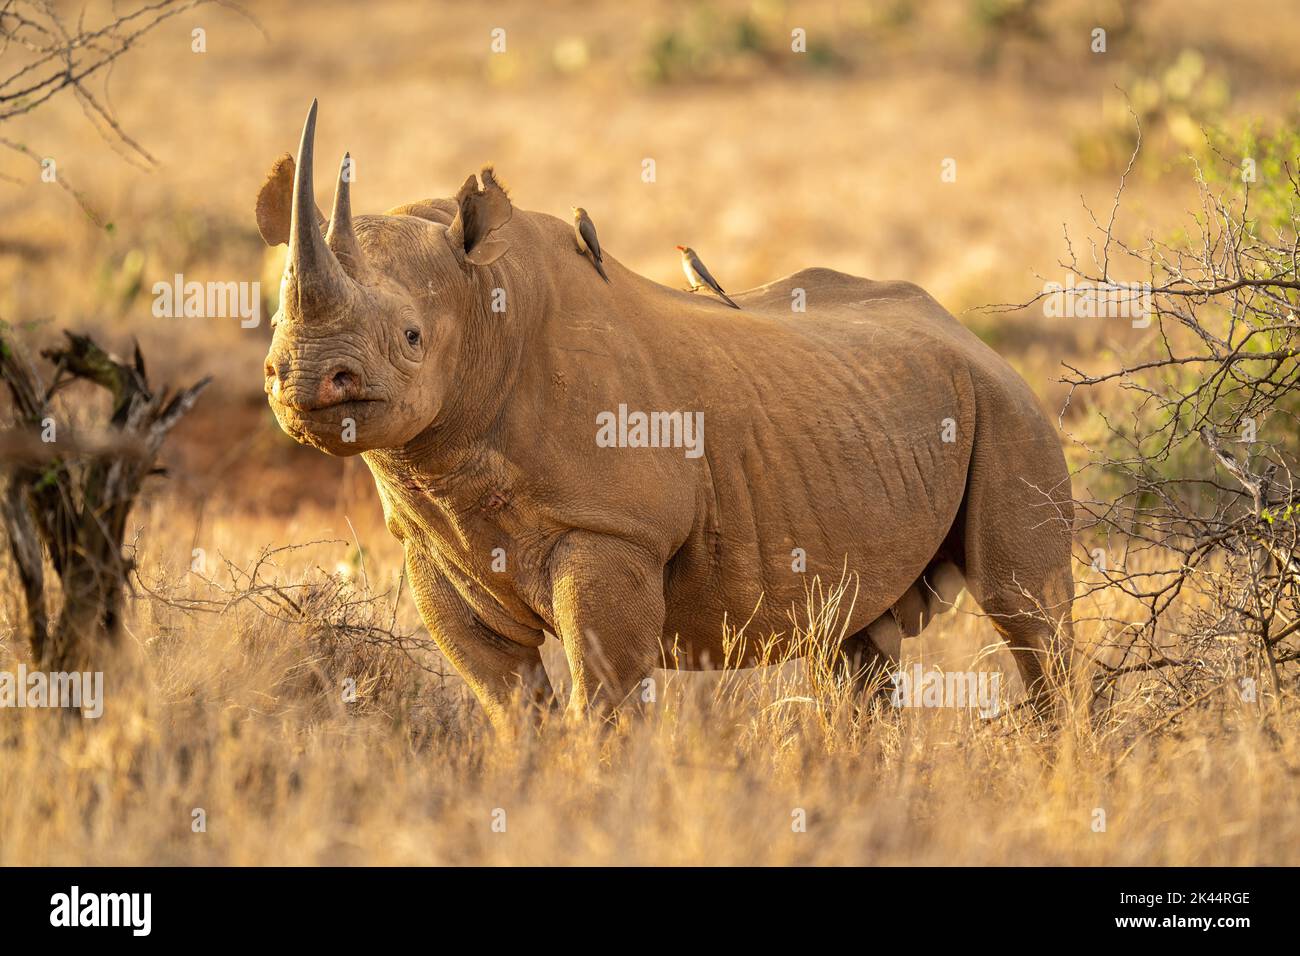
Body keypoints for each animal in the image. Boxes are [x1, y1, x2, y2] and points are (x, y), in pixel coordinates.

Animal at [257, 103, 1075, 729]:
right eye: (271, 334)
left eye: (412, 338)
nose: (306, 380)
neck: (484, 310)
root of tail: (971, 335)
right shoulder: (433, 542)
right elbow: (507, 699)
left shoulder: (614, 530)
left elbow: (602, 697)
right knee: (853, 643)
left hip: (1011, 408)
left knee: (1025, 610)